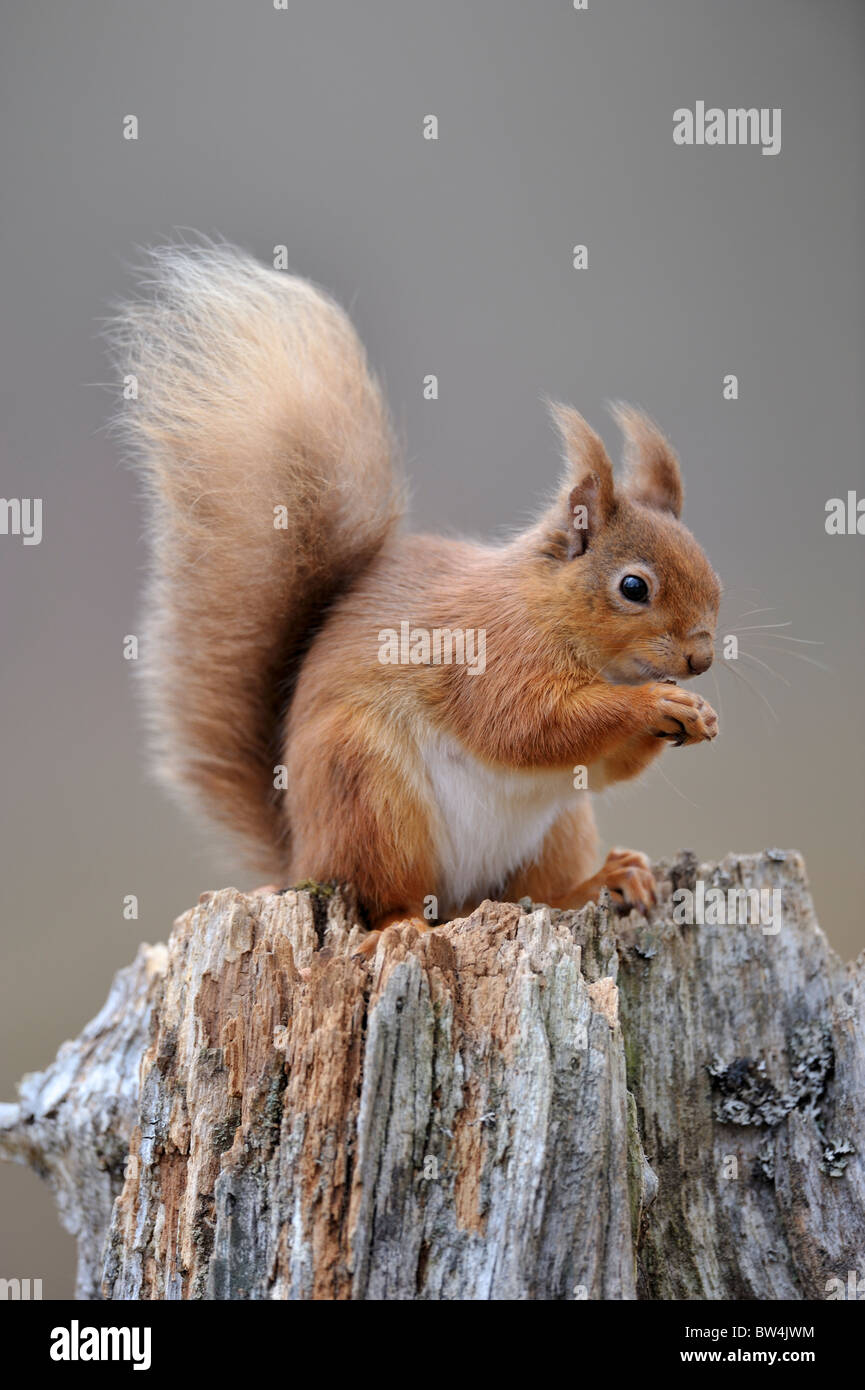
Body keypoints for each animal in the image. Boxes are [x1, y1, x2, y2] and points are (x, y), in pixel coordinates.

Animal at [113, 242, 721, 951]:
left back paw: (602, 881)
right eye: (633, 587)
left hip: (557, 828)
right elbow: (529, 726)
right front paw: (654, 703)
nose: (702, 659)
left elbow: (600, 766)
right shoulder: (490, 654)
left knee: (534, 892)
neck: (551, 612)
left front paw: (697, 714)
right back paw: (402, 924)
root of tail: (300, 857)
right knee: (386, 893)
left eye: (711, 574)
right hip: (369, 796)